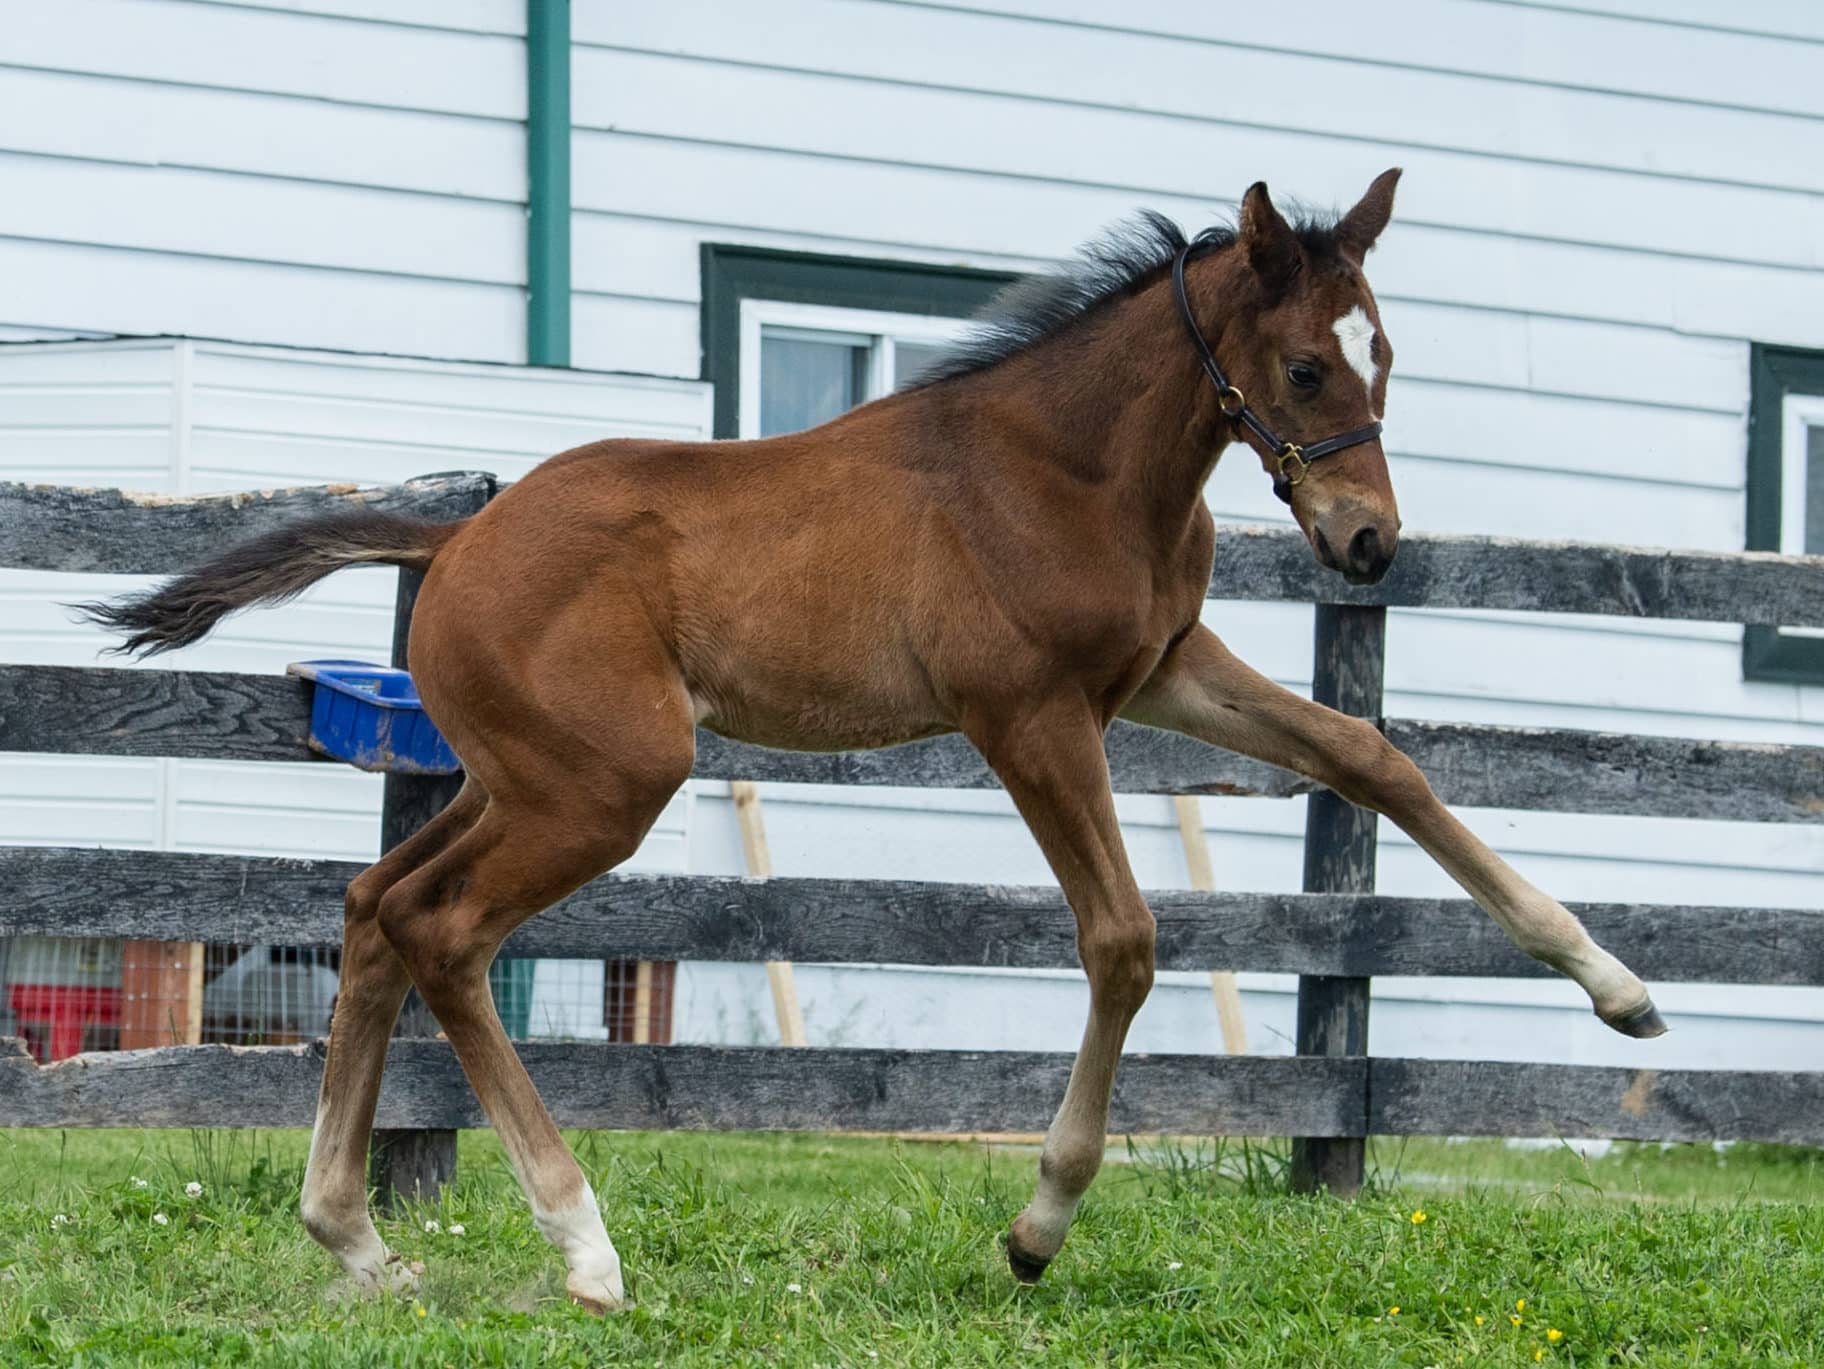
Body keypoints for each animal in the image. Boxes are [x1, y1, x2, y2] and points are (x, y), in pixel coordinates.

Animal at [80, 169, 1664, 1311]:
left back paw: (355, 1238)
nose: (1368, 544)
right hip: (608, 784)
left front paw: (1619, 987)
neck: (1071, 469)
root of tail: (455, 533)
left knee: (374, 906)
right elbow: (1124, 938)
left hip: (525, 775)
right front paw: (1036, 1226)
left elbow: (1369, 754)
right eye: (1305, 369)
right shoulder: (1029, 713)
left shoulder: (1162, 671)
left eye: (1382, 355)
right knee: (446, 930)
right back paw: (585, 1249)